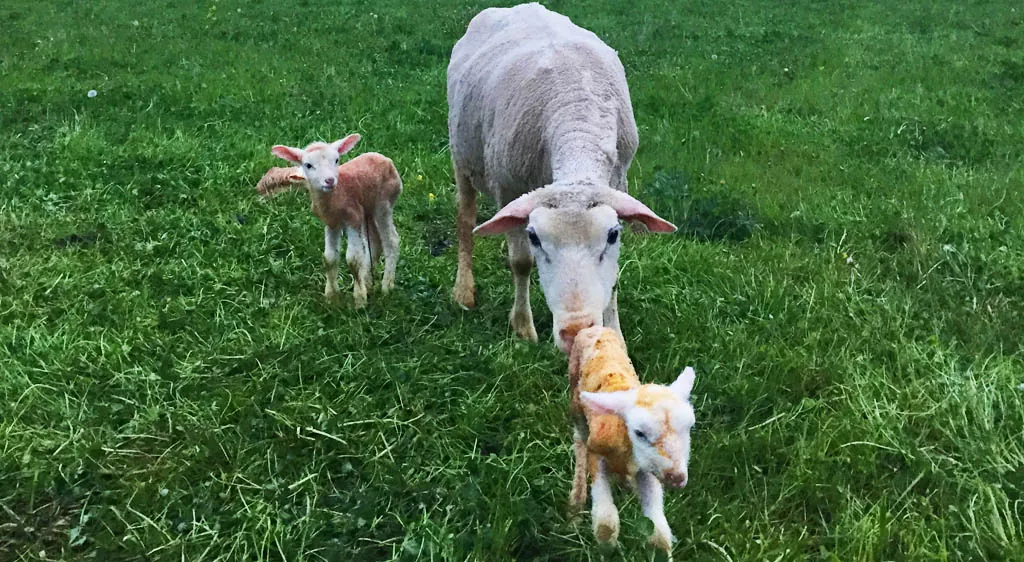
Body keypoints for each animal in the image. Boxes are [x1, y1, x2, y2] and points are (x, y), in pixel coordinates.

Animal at [257, 134, 402, 307]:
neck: (335, 197)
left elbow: (353, 259)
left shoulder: (353, 216)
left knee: (391, 240)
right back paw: (367, 282)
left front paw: (359, 301)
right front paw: (332, 297)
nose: (329, 180)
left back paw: (386, 287)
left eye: (336, 160)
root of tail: (386, 159)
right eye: (308, 165)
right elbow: (329, 258)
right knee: (375, 243)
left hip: (384, 202)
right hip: (367, 209)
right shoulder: (331, 223)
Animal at [448, 3, 676, 353]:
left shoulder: (618, 181)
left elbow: (613, 278)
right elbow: (521, 262)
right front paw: (523, 328)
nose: (575, 331)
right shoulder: (508, 189)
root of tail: (518, 6)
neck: (576, 115)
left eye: (613, 235)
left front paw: (615, 335)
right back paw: (464, 290)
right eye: (534, 237)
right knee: (465, 219)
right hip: (462, 157)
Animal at [568, 326, 696, 551]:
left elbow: (658, 532)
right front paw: (606, 552)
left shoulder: (647, 472)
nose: (677, 478)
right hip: (576, 401)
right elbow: (606, 524)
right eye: (639, 433)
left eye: (690, 427)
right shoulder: (597, 454)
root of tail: (594, 328)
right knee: (579, 441)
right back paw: (576, 501)